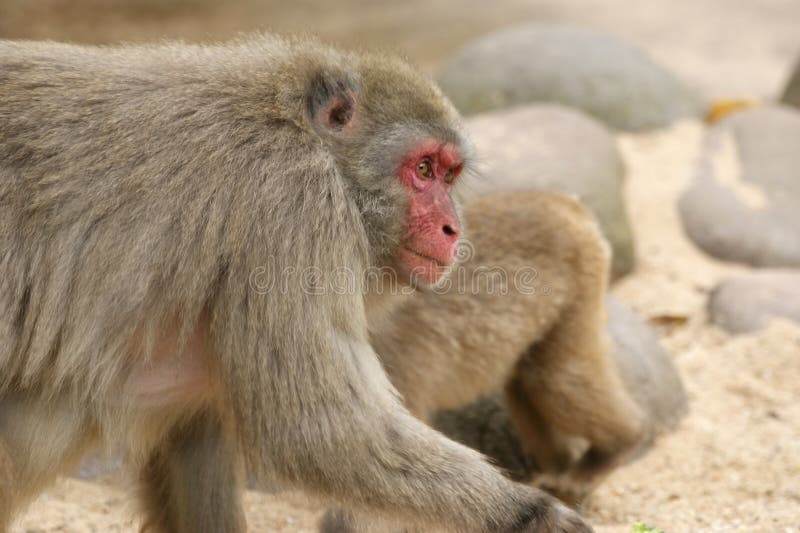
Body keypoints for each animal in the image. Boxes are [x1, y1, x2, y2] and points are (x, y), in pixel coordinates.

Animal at [0, 36, 591, 533]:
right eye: (422, 169)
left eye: (449, 175)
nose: (453, 228)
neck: (309, 138)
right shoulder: (295, 210)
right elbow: (311, 430)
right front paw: (529, 513)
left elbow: (195, 437)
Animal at [321, 191, 688, 530]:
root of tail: (561, 201)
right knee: (524, 387)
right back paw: (558, 479)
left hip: (579, 292)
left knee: (556, 379)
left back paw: (614, 448)